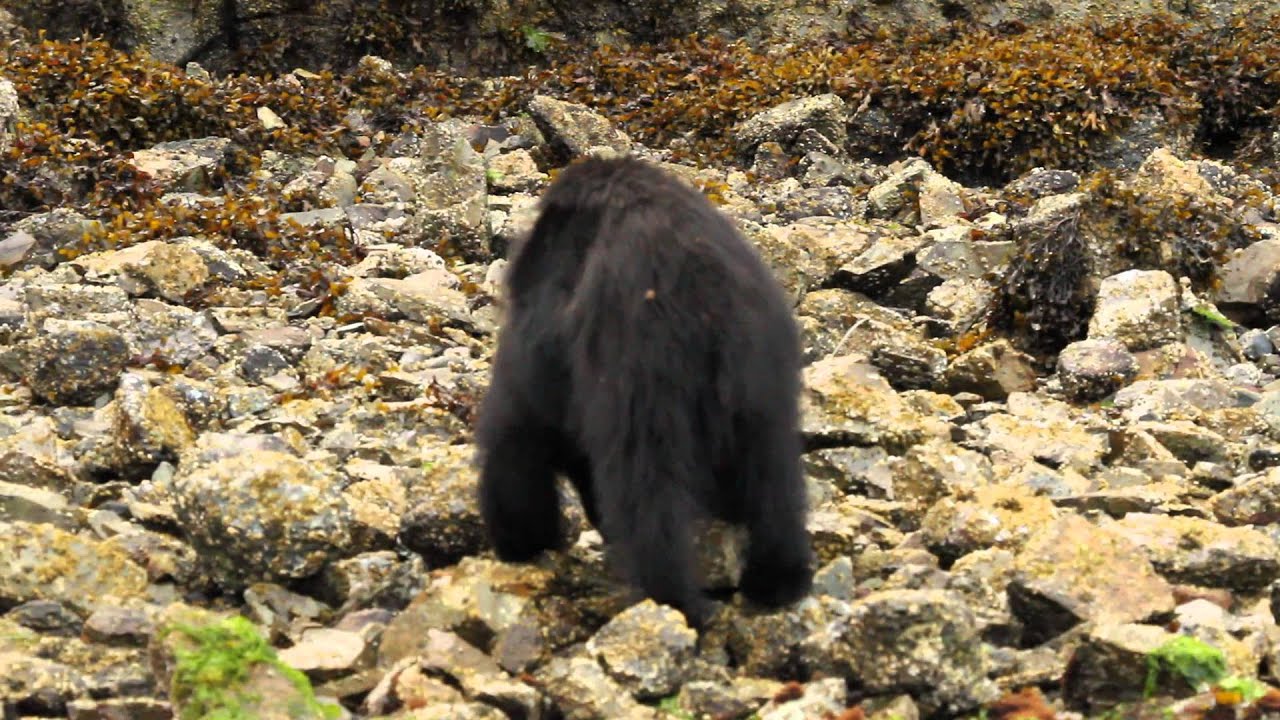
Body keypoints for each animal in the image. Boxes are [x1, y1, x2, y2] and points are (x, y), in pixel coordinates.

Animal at [474, 153, 812, 629]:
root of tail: (710, 302)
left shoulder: (545, 321)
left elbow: (518, 427)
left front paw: (521, 540)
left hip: (641, 372)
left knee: (646, 488)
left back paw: (674, 600)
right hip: (761, 380)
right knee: (775, 475)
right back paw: (779, 581)